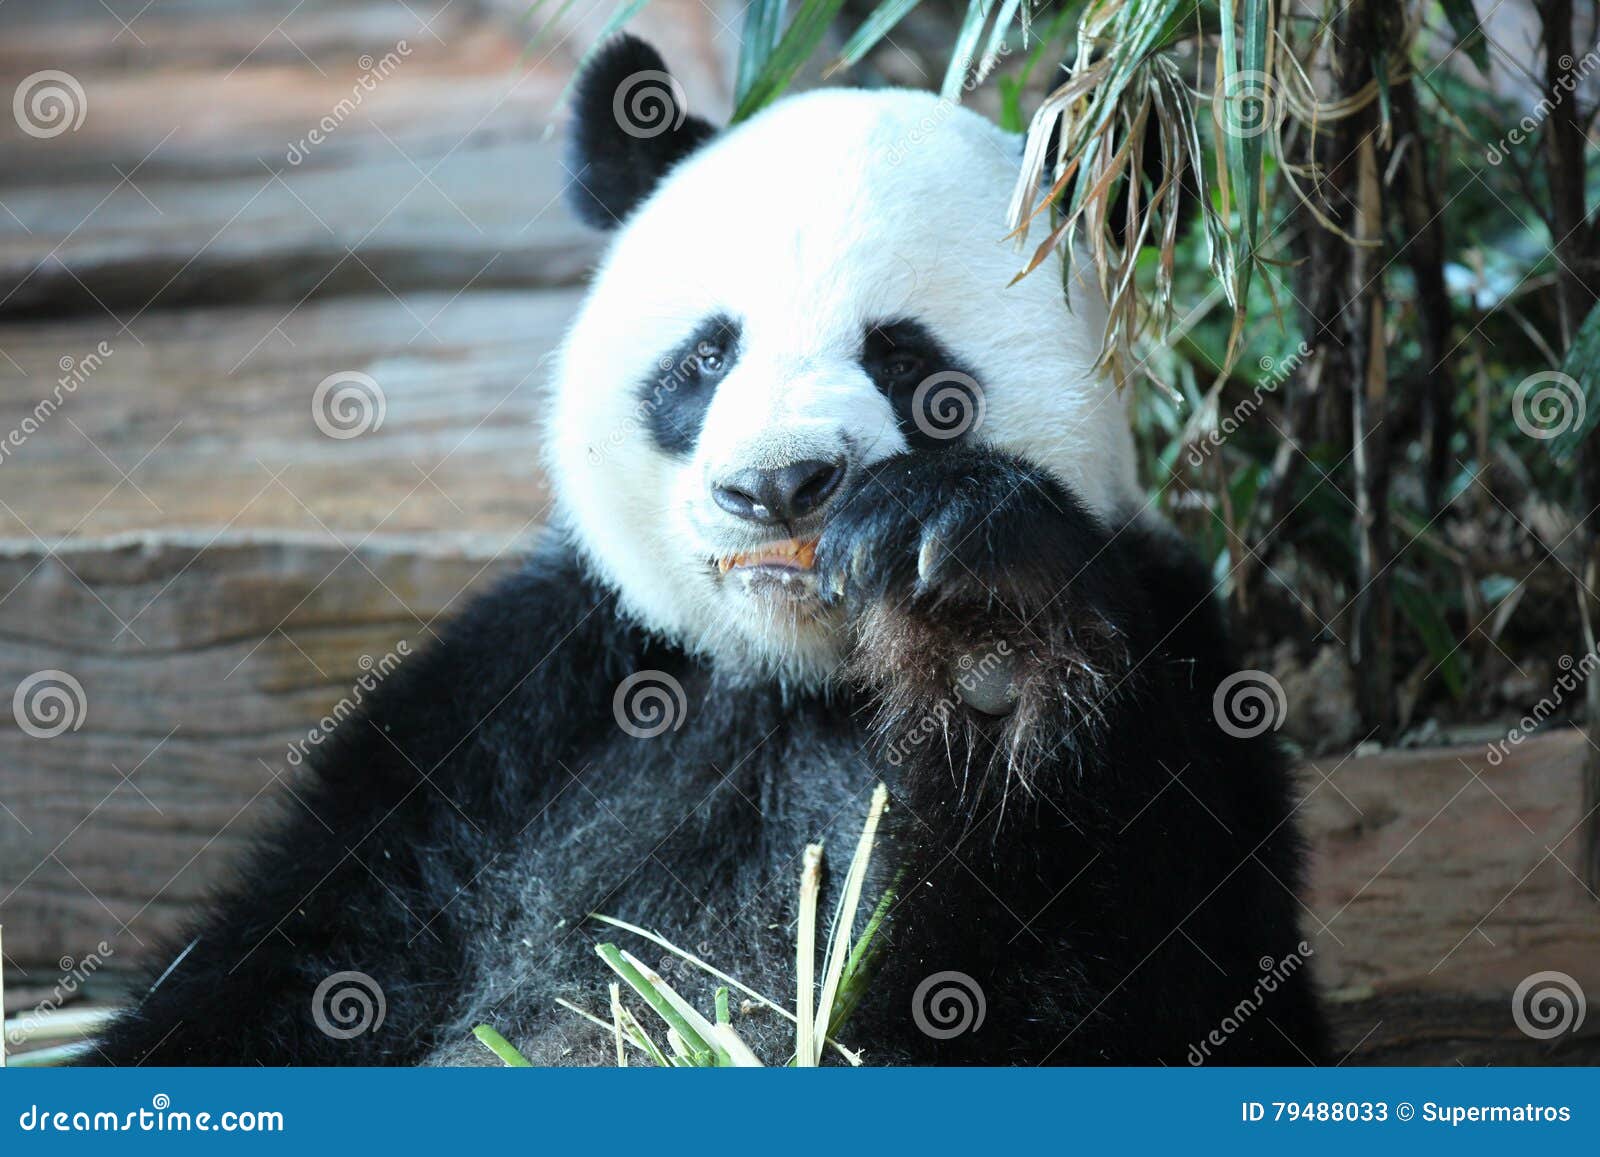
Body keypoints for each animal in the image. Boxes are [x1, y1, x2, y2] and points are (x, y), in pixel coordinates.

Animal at [90, 35, 1326, 1067]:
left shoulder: (1179, 668)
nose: (777, 483)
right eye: (705, 358)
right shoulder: (515, 715)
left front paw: (990, 637)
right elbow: (298, 965)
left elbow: (1126, 981)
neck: (796, 683)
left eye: (906, 361)